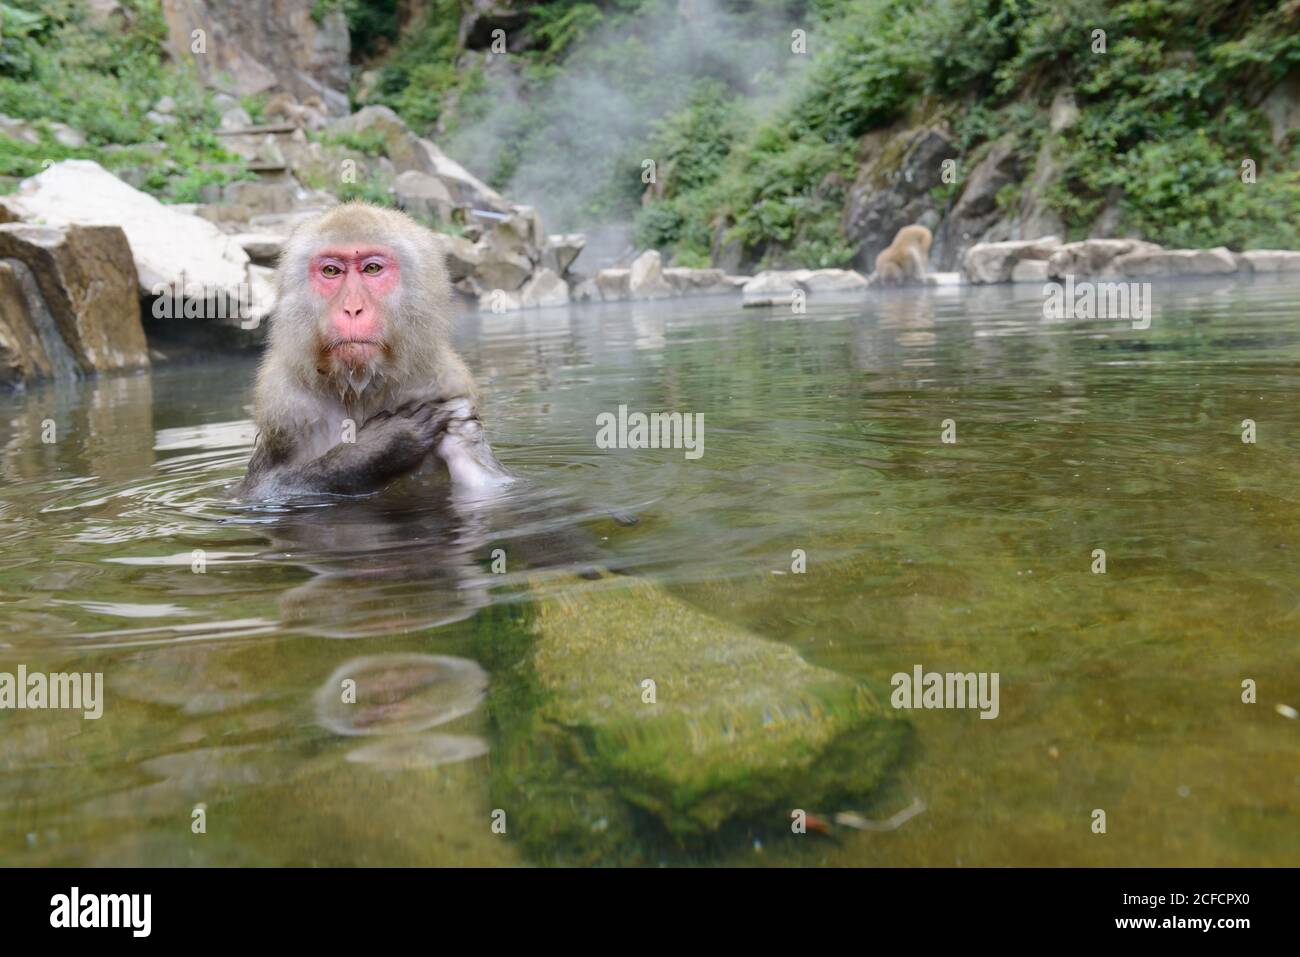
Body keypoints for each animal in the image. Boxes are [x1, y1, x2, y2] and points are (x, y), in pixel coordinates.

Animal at [238, 202, 511, 501]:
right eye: (331, 271)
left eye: (372, 268)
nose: (352, 308)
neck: (359, 388)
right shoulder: (284, 407)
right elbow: (260, 491)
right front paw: (381, 446)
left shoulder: (447, 387)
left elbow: (489, 484)